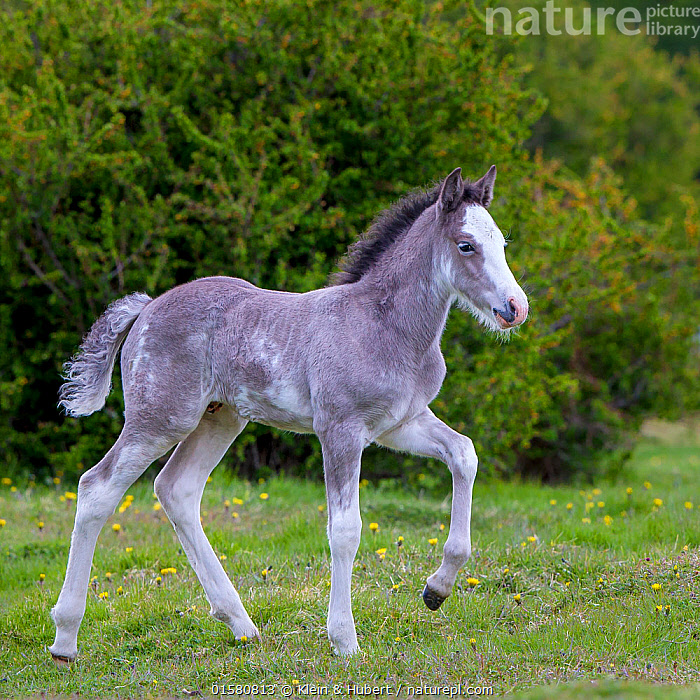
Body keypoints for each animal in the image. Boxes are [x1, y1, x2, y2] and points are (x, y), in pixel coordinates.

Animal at [49, 166, 528, 662]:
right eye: (466, 245)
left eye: (502, 243)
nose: (515, 308)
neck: (383, 325)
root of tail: (146, 308)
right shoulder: (340, 430)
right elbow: (345, 529)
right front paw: (344, 640)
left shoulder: (399, 424)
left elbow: (464, 454)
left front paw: (437, 589)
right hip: (160, 420)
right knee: (97, 489)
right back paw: (65, 637)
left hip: (220, 418)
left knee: (176, 489)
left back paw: (241, 624)